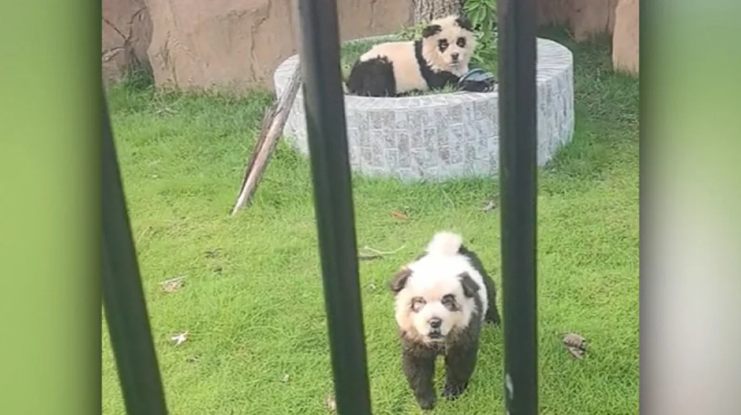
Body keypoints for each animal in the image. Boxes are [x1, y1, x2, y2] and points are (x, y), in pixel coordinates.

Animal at [346, 15, 476, 97]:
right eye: (443, 45)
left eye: (460, 42)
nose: (455, 55)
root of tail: (352, 79)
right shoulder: (430, 66)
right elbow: (446, 83)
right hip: (378, 64)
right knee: (376, 86)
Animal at [388, 231, 501, 410]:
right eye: (419, 302)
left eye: (448, 301)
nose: (434, 322)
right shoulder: (414, 339)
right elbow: (417, 368)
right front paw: (426, 401)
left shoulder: (464, 330)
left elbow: (459, 363)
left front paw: (451, 393)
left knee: (491, 296)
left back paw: (494, 323)